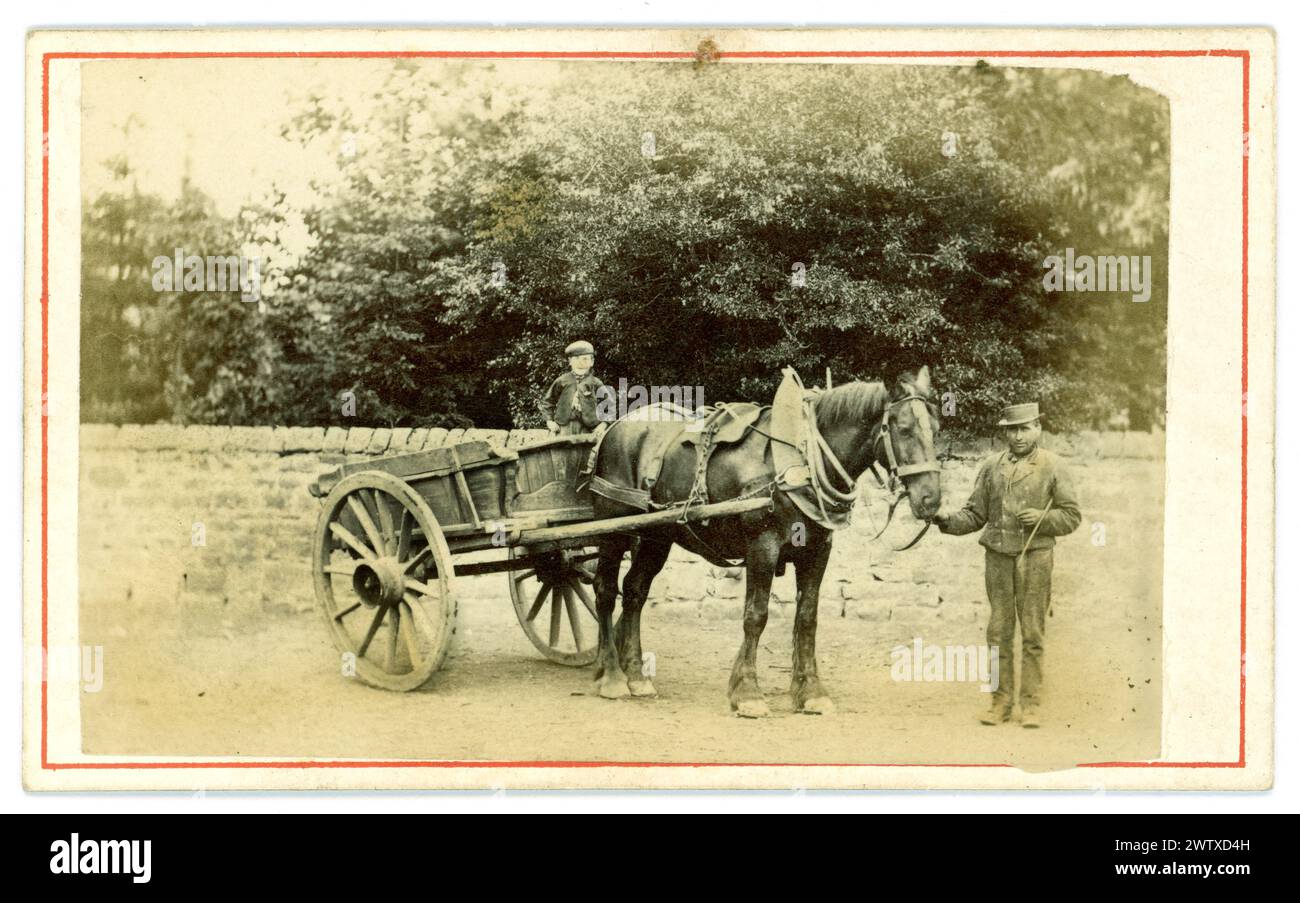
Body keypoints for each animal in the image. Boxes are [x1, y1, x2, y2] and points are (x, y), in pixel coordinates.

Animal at [592, 366, 946, 712]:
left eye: (936, 428)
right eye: (904, 429)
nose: (931, 499)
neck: (801, 461)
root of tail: (616, 426)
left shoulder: (817, 551)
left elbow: (807, 618)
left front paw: (810, 690)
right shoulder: (762, 547)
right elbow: (756, 615)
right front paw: (748, 692)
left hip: (657, 536)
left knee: (634, 592)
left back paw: (635, 675)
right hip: (612, 531)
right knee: (605, 591)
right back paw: (611, 675)